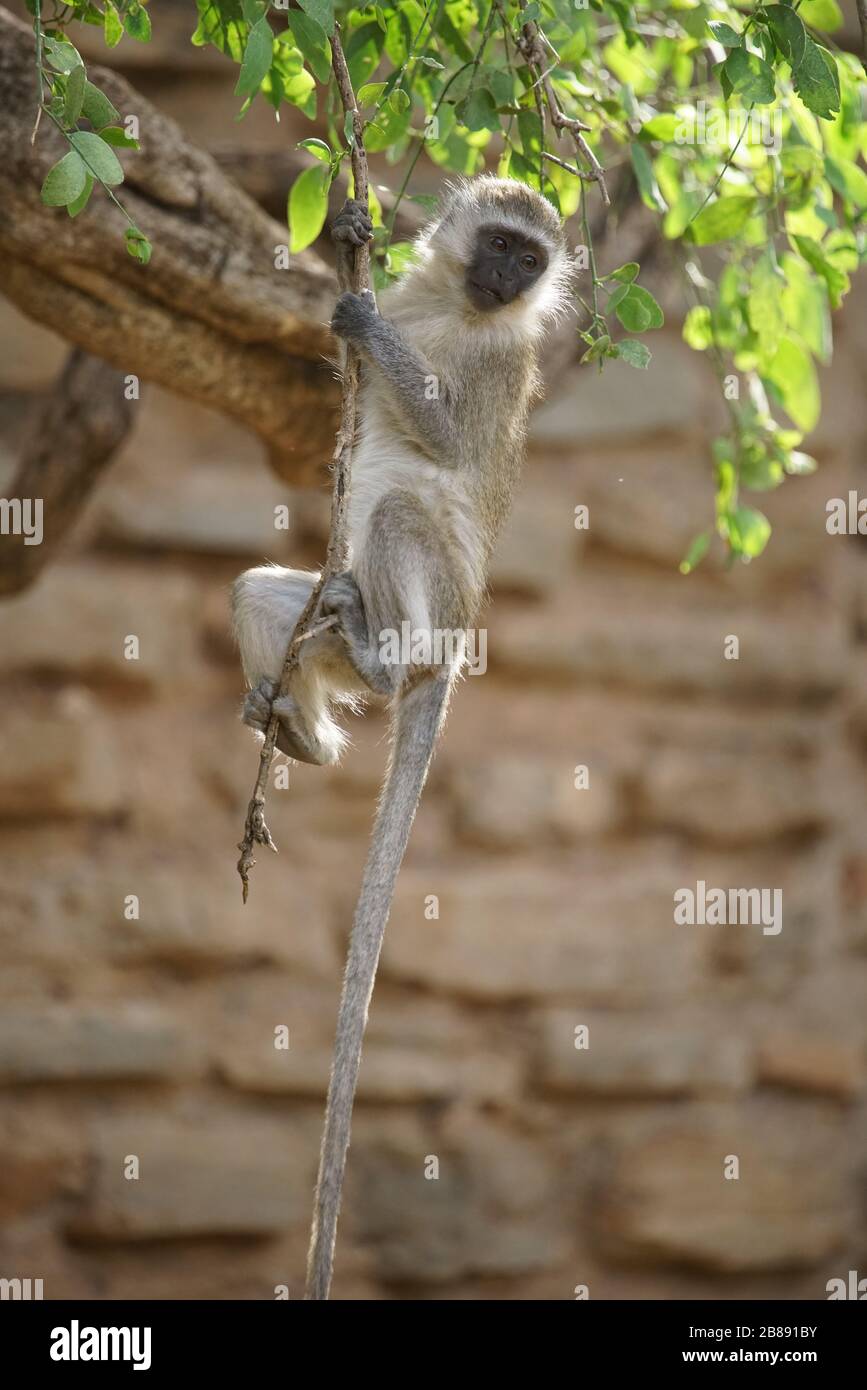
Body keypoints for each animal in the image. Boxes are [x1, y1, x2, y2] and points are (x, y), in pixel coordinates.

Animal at [231, 176, 571, 1299]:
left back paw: (388, 672)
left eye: (530, 259)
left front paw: (366, 323)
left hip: (437, 597)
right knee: (270, 595)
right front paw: (351, 231)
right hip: (324, 625)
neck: (458, 312)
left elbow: (448, 441)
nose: (509, 278)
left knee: (401, 515)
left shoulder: (506, 360)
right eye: (500, 242)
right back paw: (296, 732)